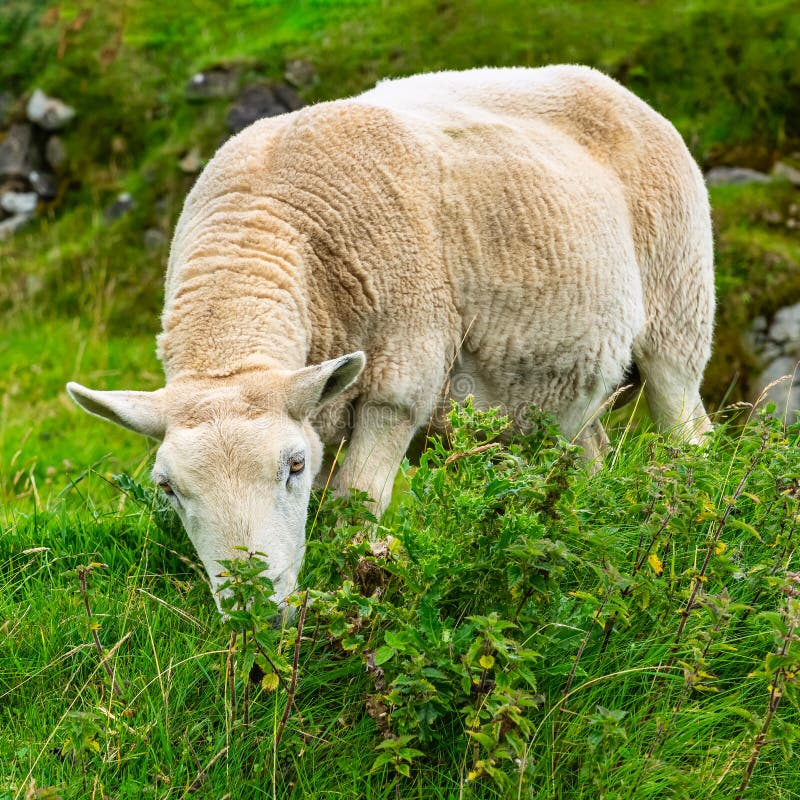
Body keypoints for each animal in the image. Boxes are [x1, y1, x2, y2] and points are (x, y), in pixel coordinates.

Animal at [67, 65, 715, 612]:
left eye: (293, 466)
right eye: (168, 489)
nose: (255, 610)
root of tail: (605, 83)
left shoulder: (398, 383)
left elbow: (354, 503)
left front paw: (353, 586)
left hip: (679, 312)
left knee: (690, 433)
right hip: (563, 391)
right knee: (588, 455)